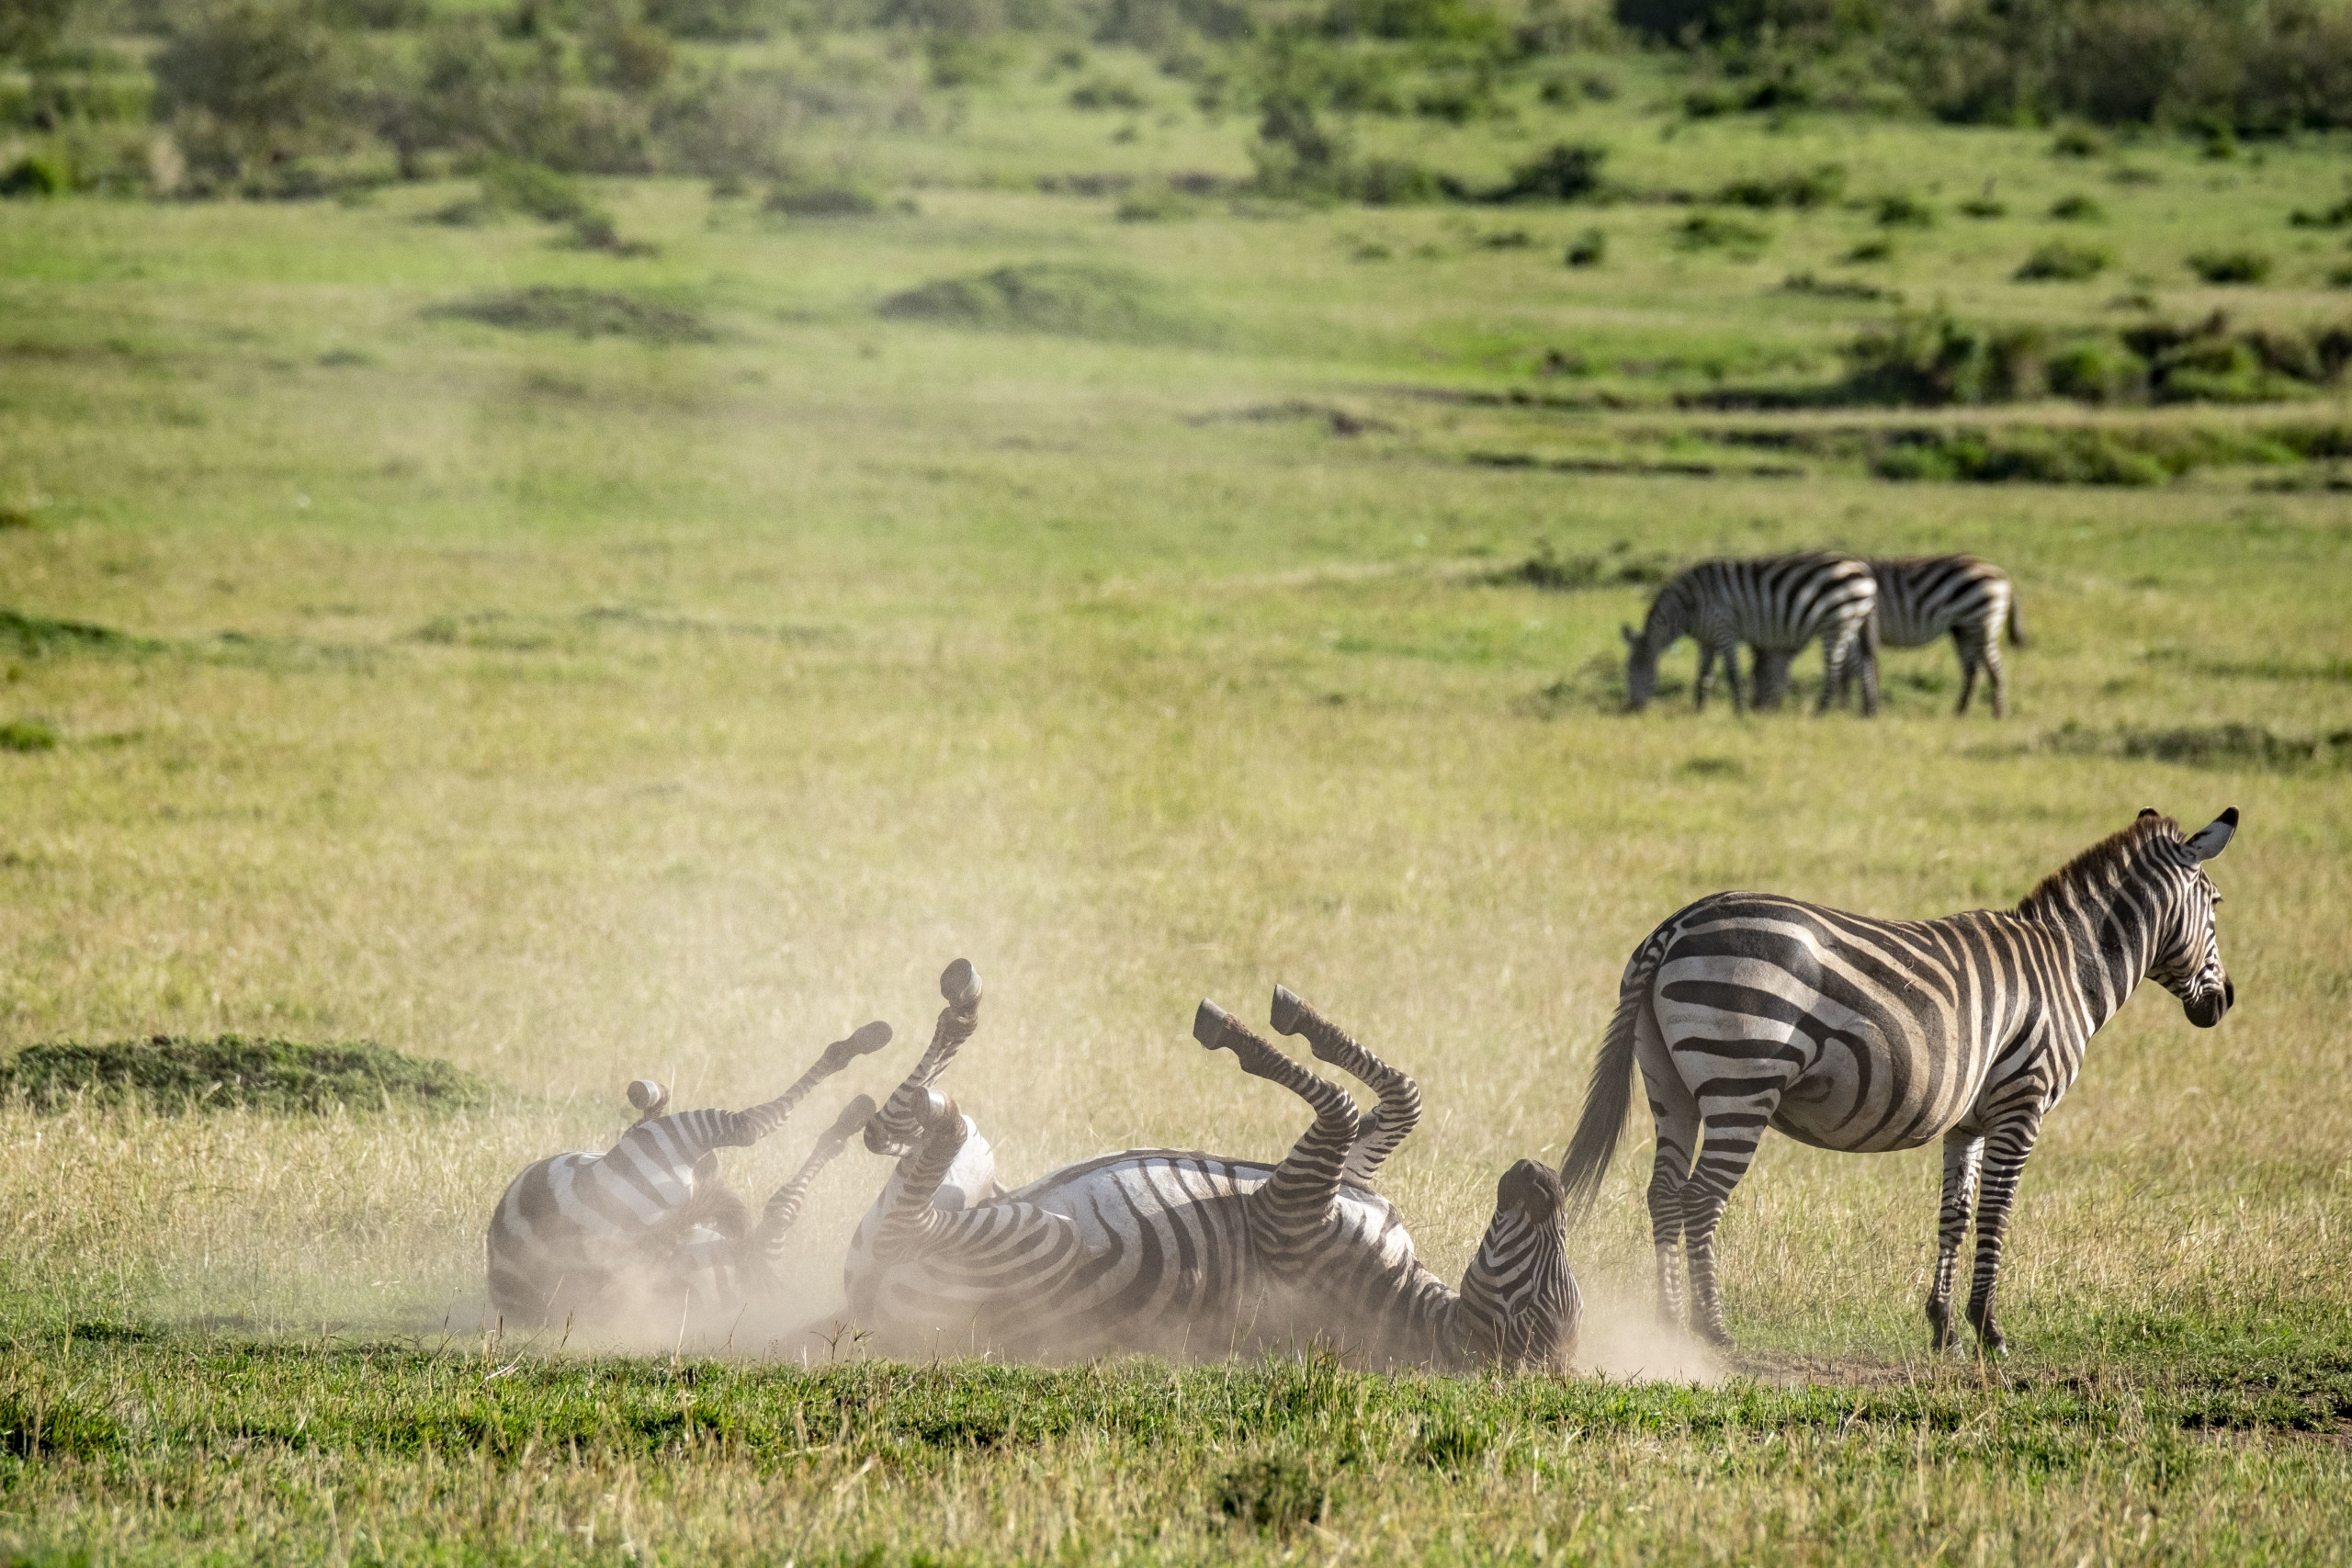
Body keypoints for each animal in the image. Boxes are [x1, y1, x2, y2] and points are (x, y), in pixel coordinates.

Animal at [844, 977, 1579, 1371]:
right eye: (1560, 1291)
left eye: (1541, 1312)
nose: (1542, 1173)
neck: (1406, 1297)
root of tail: (868, 1315)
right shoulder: (1348, 1173)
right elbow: (1402, 1095)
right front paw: (1300, 1016)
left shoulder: (1291, 1210)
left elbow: (1341, 1104)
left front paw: (1236, 1034)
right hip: (973, 1178)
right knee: (908, 1148)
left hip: (1021, 1238)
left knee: (917, 1178)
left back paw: (928, 1085)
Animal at [1559, 806, 2238, 1356]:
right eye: (2216, 905)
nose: (2225, 1001)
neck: (2070, 965)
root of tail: (1674, 926)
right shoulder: (2022, 1102)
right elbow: (1996, 1215)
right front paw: (1989, 1330)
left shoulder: (1969, 1120)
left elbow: (1954, 1215)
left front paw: (1944, 1330)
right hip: (1741, 1081)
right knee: (1700, 1197)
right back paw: (1714, 1329)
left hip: (1669, 1083)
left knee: (1663, 1192)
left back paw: (1668, 1325)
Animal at [1623, 553, 1880, 716]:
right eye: (1627, 671)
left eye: (1645, 671)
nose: (1633, 708)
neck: (1689, 606)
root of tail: (1862, 568)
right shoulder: (1707, 641)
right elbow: (1703, 675)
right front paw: (1698, 710)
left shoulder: (1725, 628)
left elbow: (1732, 673)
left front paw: (1739, 710)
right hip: (1849, 623)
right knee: (1861, 664)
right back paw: (1869, 710)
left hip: (1836, 622)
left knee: (1834, 669)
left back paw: (1821, 710)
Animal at [1829, 555, 2026, 717]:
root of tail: (2002, 576)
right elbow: (1849, 669)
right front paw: (1846, 707)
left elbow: (1848, 668)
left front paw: (1845, 708)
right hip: (1963, 629)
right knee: (1972, 670)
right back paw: (1959, 712)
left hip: (1980, 625)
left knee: (1995, 669)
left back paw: (1998, 714)